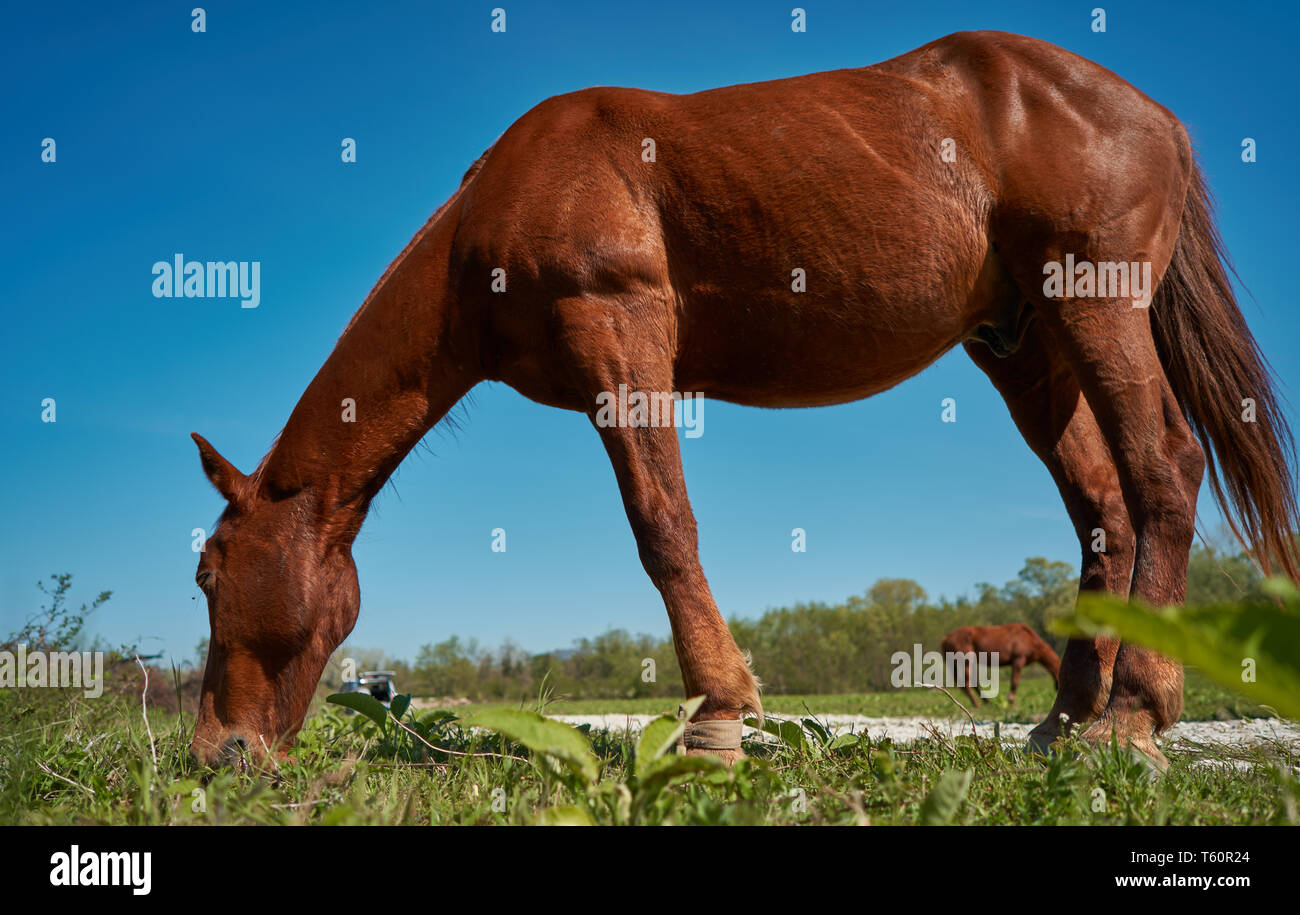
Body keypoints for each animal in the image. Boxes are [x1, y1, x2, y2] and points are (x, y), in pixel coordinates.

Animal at [189, 30, 1300, 771]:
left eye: (209, 574)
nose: (215, 751)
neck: (495, 215)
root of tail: (1151, 114)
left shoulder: (618, 333)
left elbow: (662, 526)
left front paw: (716, 717)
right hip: (1029, 348)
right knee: (1104, 507)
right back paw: (1065, 720)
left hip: (1094, 305)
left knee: (1165, 468)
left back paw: (1134, 715)